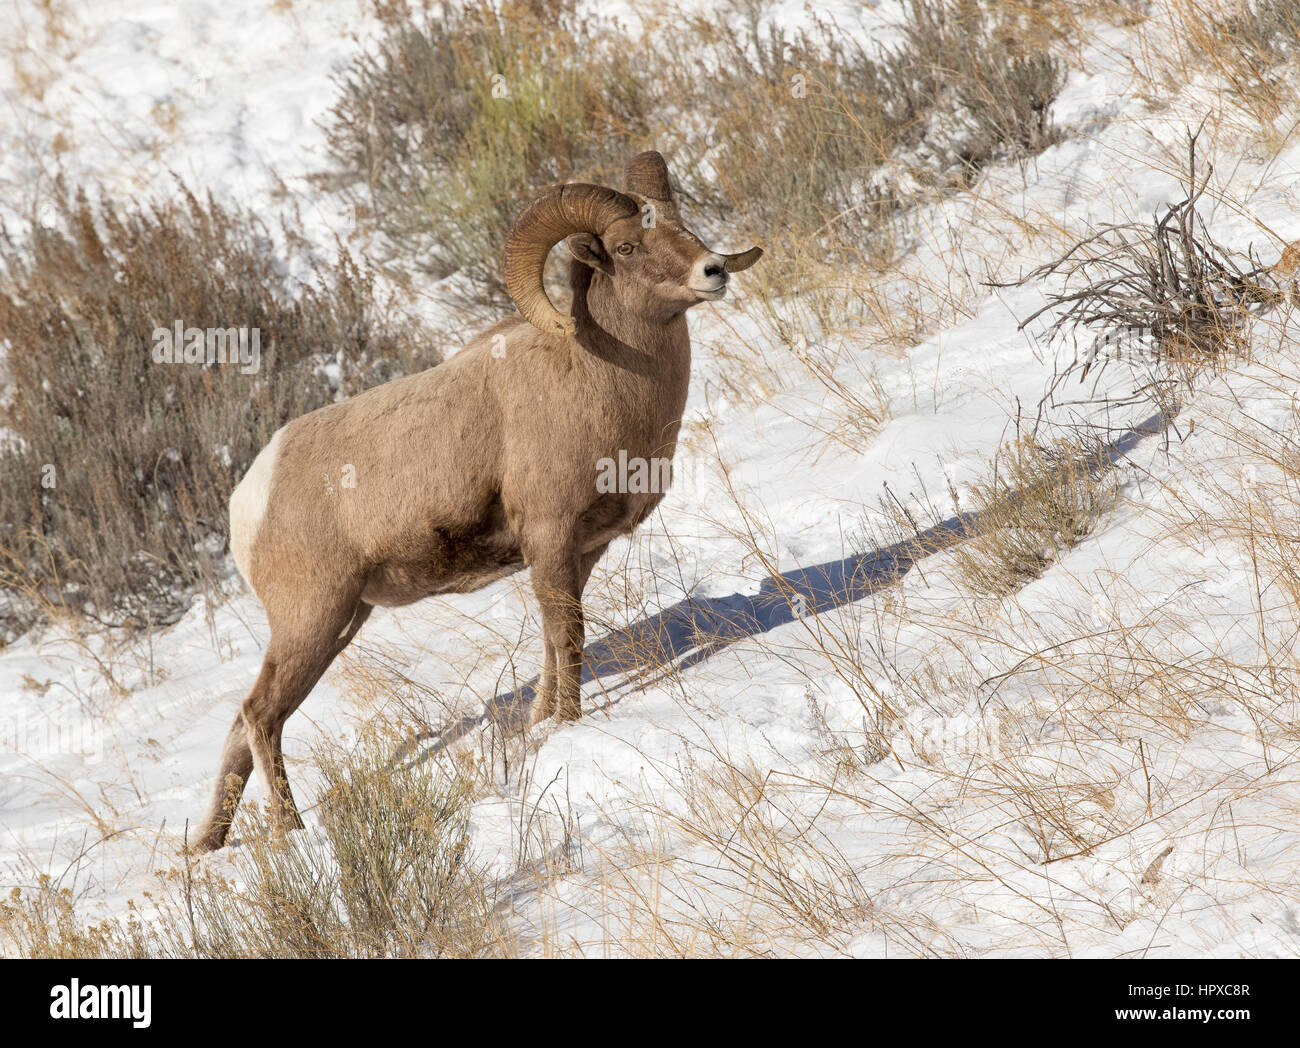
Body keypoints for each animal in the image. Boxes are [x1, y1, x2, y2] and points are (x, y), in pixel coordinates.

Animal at [193, 151, 762, 852]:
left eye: (684, 227)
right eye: (629, 246)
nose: (712, 271)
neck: (596, 377)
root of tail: (248, 500)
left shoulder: (579, 552)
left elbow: (551, 643)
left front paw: (542, 722)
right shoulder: (549, 536)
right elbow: (568, 637)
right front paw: (567, 725)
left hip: (341, 620)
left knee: (242, 727)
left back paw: (208, 847)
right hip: (313, 617)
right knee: (261, 714)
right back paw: (291, 831)